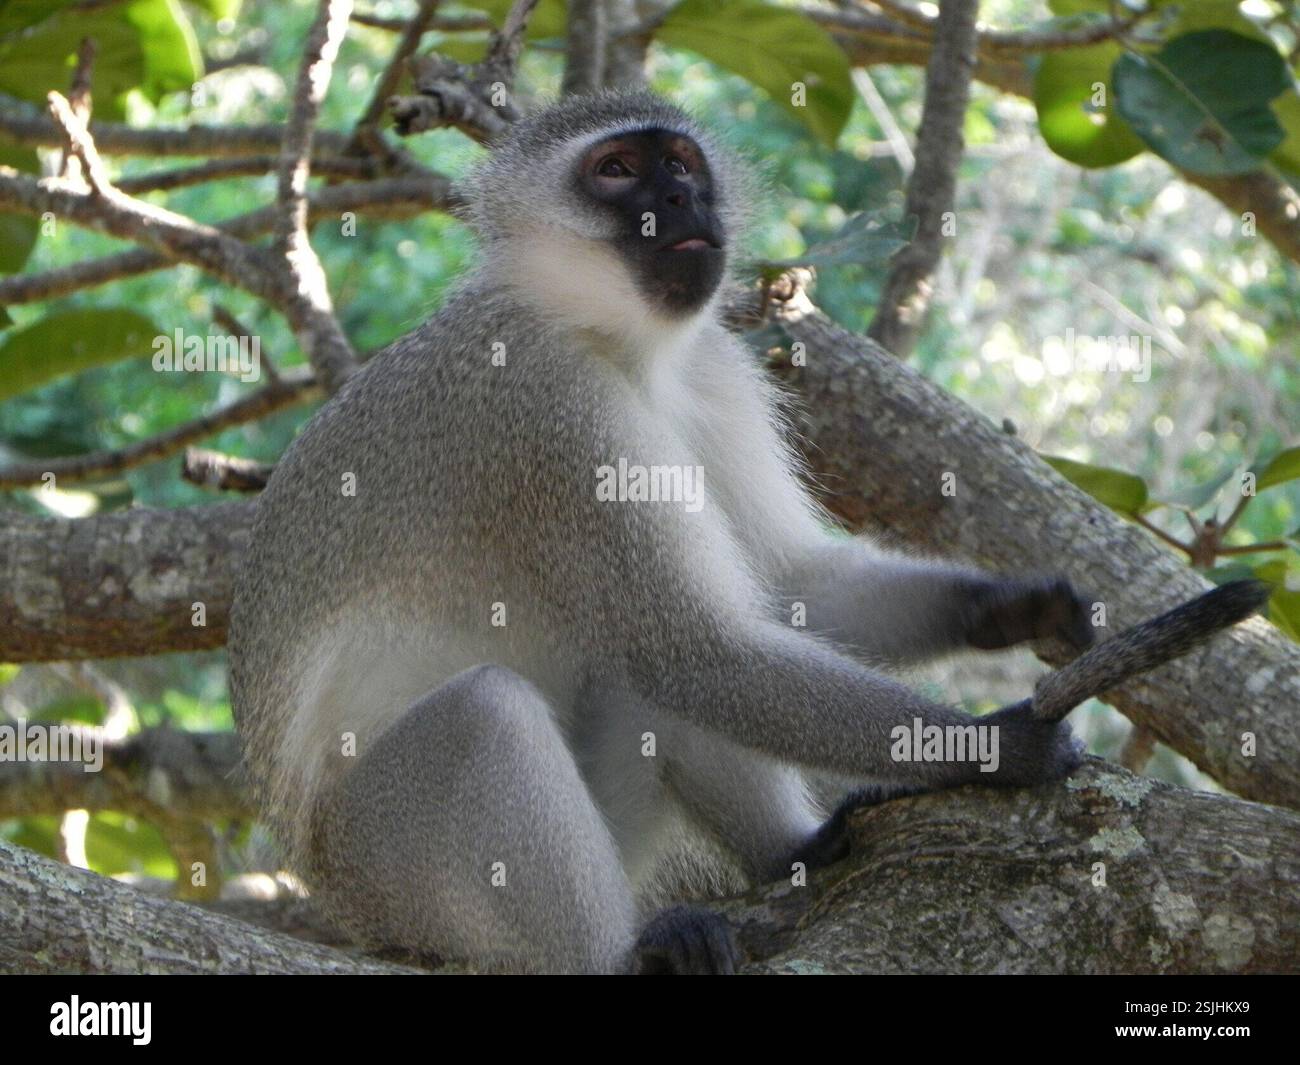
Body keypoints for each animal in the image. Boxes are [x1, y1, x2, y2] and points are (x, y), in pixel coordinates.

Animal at [228, 90, 1267, 975]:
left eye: (681, 162)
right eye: (616, 170)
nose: (682, 195)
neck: (619, 345)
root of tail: (335, 894)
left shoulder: (718, 371)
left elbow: (779, 588)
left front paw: (1012, 607)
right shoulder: (544, 407)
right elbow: (699, 647)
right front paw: (995, 744)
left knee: (646, 671)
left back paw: (793, 851)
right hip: (389, 871)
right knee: (506, 706)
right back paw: (623, 953)